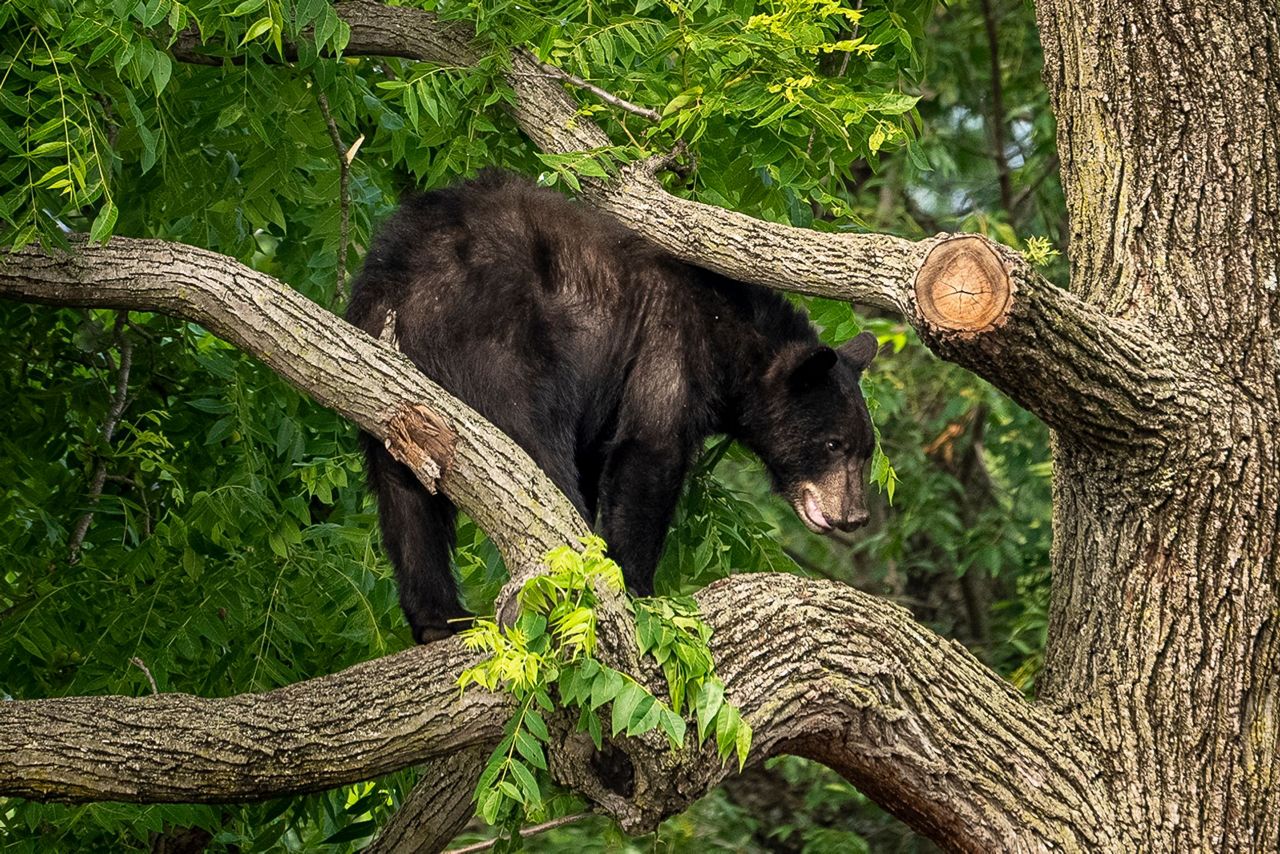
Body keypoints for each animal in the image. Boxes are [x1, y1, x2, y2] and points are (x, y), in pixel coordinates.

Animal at [346, 171, 879, 643]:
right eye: (833, 444)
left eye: (865, 451)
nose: (855, 515)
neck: (728, 338)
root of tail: (400, 282)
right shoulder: (668, 344)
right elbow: (649, 452)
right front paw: (639, 585)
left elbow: (596, 459)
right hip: (498, 339)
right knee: (534, 447)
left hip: (395, 385)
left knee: (403, 492)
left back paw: (439, 619)